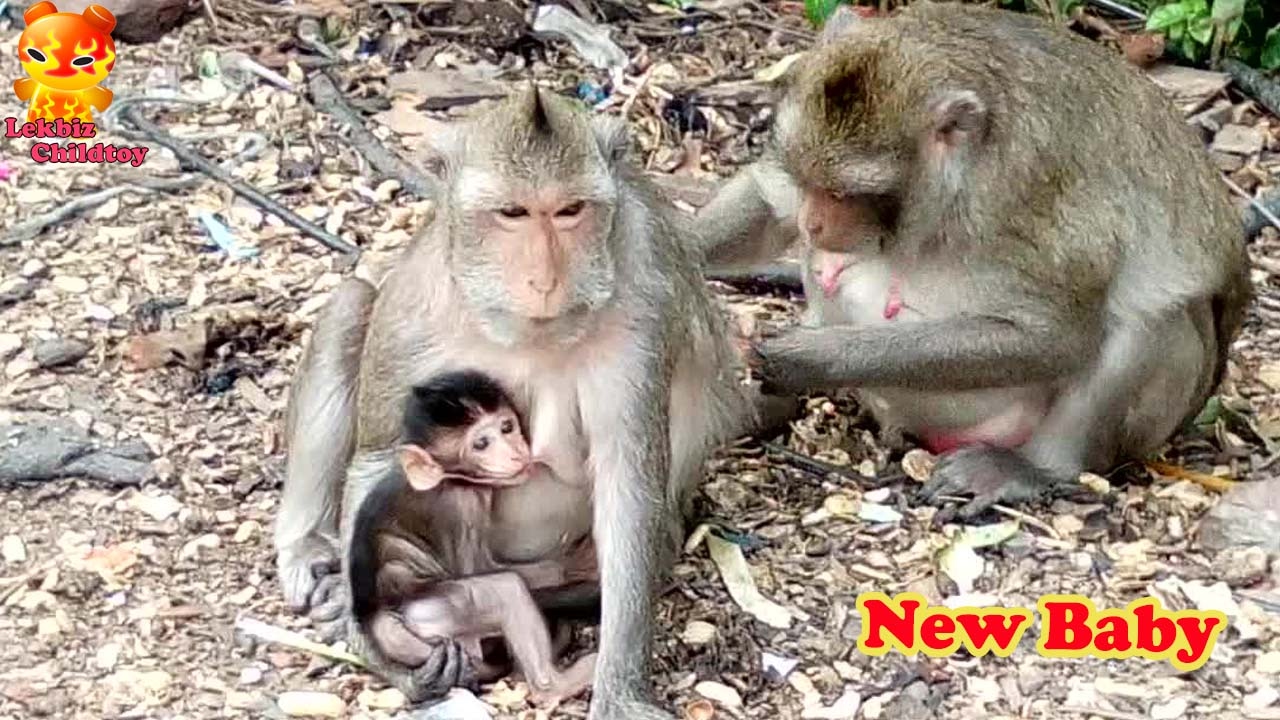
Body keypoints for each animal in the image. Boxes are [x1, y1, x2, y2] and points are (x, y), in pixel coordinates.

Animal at [347, 370, 597, 705]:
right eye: (481, 443)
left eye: (507, 427)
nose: (515, 452)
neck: (449, 478)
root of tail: (376, 620)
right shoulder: (461, 503)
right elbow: (479, 568)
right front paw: (573, 563)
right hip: (431, 613)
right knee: (505, 589)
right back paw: (556, 684)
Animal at [692, 2, 1252, 519]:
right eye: (807, 181)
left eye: (847, 194)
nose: (813, 223)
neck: (953, 184)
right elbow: (767, 202)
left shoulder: (1033, 204)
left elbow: (1055, 339)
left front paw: (811, 357)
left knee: (1151, 322)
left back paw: (1035, 466)